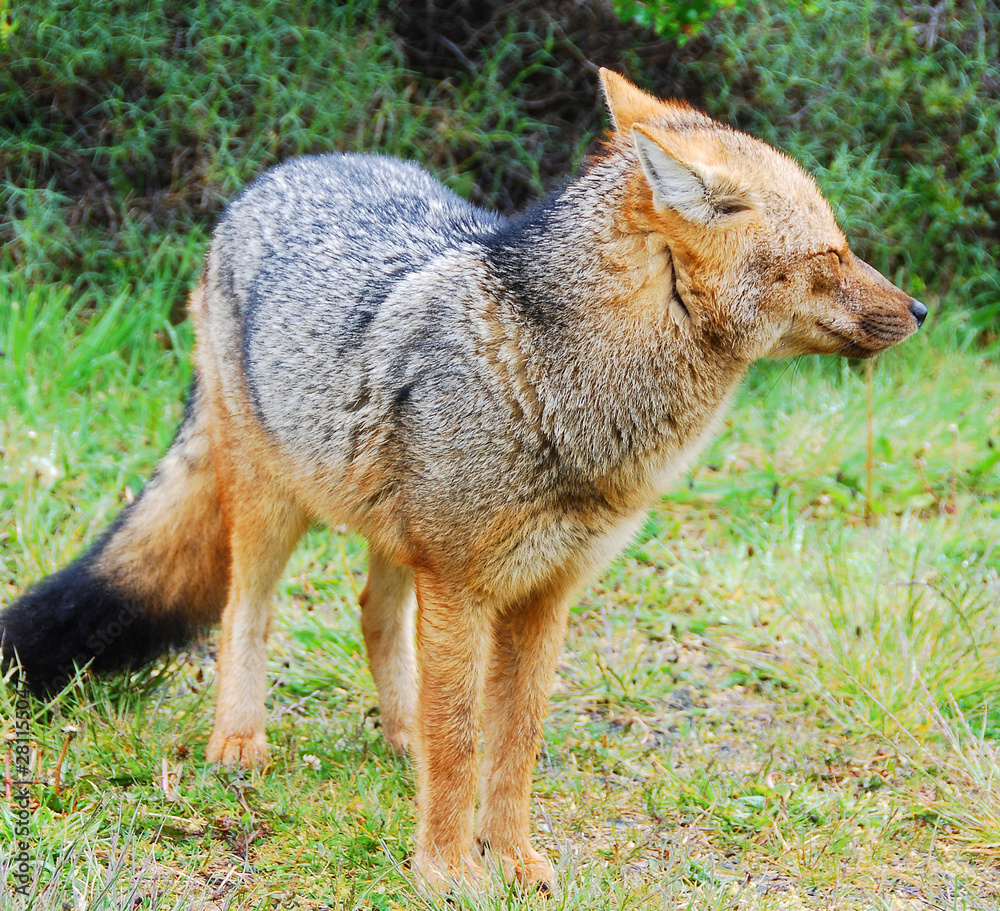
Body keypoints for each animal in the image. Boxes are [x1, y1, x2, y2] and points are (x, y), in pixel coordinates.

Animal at [1, 69, 925, 892]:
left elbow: (510, 747)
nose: (919, 310)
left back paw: (395, 734)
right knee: (243, 612)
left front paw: (513, 860)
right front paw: (446, 870)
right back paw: (240, 742)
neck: (558, 389)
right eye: (833, 252)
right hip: (275, 510)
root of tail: (284, 171)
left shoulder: (543, 596)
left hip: (392, 539)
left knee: (374, 616)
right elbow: (460, 743)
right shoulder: (460, 586)